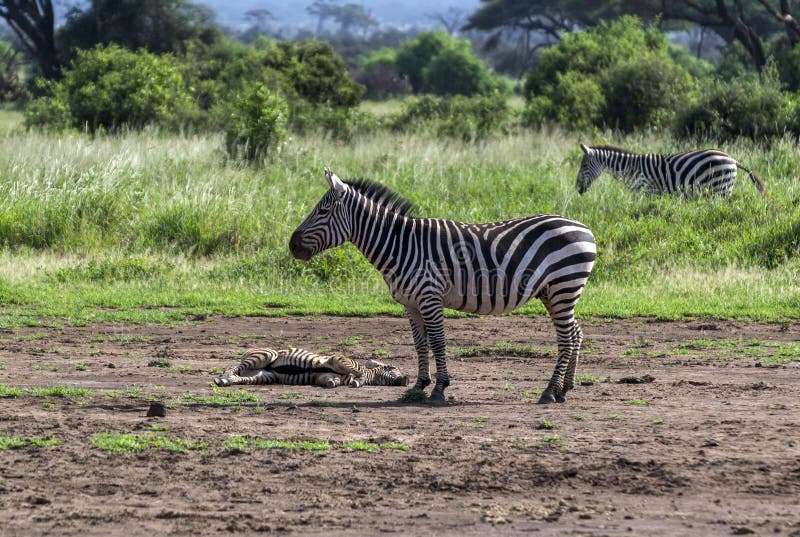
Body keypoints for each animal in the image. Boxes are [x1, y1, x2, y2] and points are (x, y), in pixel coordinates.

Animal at [289, 169, 596, 403]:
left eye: (323, 210)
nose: (292, 245)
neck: (401, 246)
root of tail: (585, 227)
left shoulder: (429, 297)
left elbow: (437, 342)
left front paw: (438, 389)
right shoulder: (411, 303)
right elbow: (420, 344)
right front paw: (418, 386)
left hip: (563, 286)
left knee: (566, 338)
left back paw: (550, 391)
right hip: (554, 292)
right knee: (576, 334)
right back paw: (565, 389)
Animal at [576, 144, 766, 197]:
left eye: (584, 166)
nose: (577, 188)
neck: (630, 169)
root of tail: (733, 159)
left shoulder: (645, 190)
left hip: (721, 188)